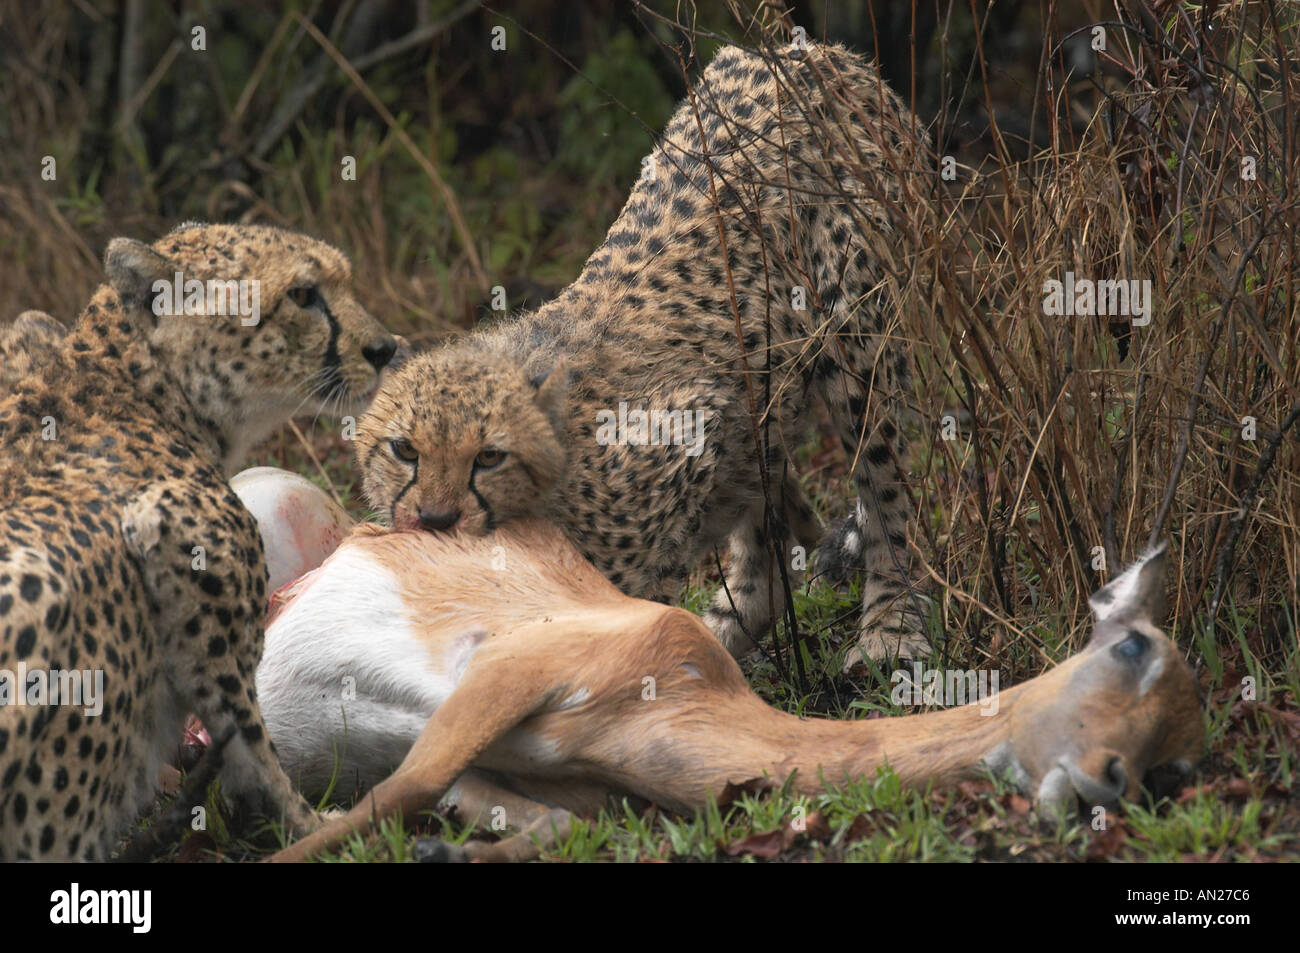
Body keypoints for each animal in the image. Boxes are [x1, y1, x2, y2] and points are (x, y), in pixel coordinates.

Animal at [231, 468, 1204, 863]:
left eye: (1177, 761)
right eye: (1131, 643)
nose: (1113, 776)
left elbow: (509, 813)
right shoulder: (505, 667)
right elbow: (382, 801)